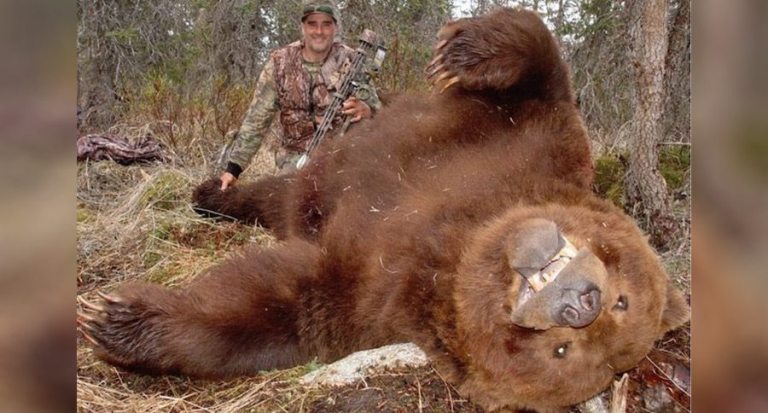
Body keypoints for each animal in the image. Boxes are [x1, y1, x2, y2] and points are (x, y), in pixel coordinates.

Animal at [77, 7, 690, 412]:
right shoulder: (526, 141)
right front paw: (458, 50)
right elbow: (539, 57)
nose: (582, 300)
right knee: (275, 187)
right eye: (621, 286)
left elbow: (273, 306)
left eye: (565, 352)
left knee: (281, 207)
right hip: (319, 173)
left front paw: (114, 317)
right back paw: (211, 192)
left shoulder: (376, 293)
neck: (466, 227)